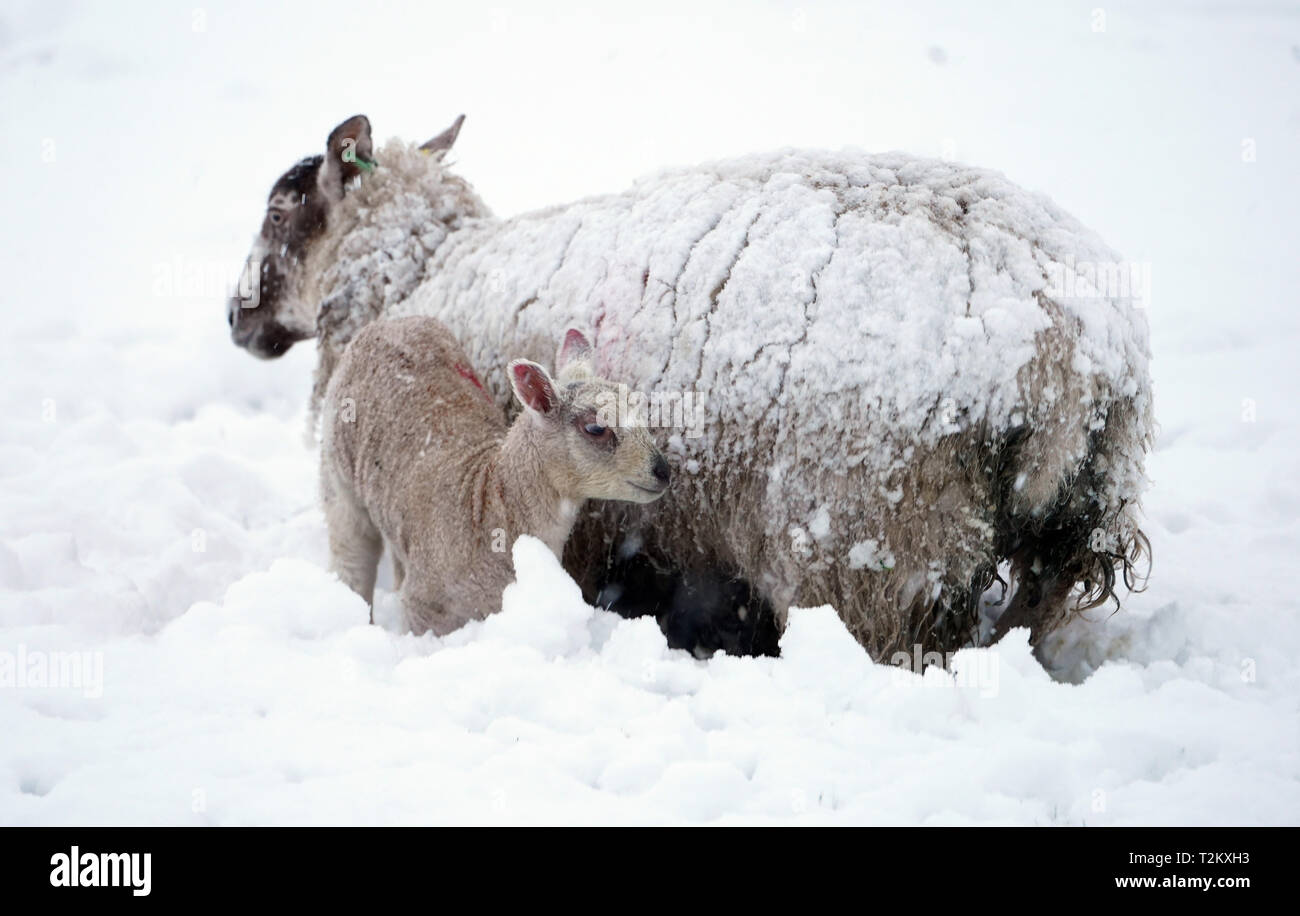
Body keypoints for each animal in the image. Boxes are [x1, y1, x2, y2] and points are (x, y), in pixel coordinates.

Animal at [320, 316, 671, 634]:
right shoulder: (424, 610)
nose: (664, 471)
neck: (488, 503)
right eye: (596, 428)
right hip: (338, 472)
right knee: (351, 552)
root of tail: (392, 321)